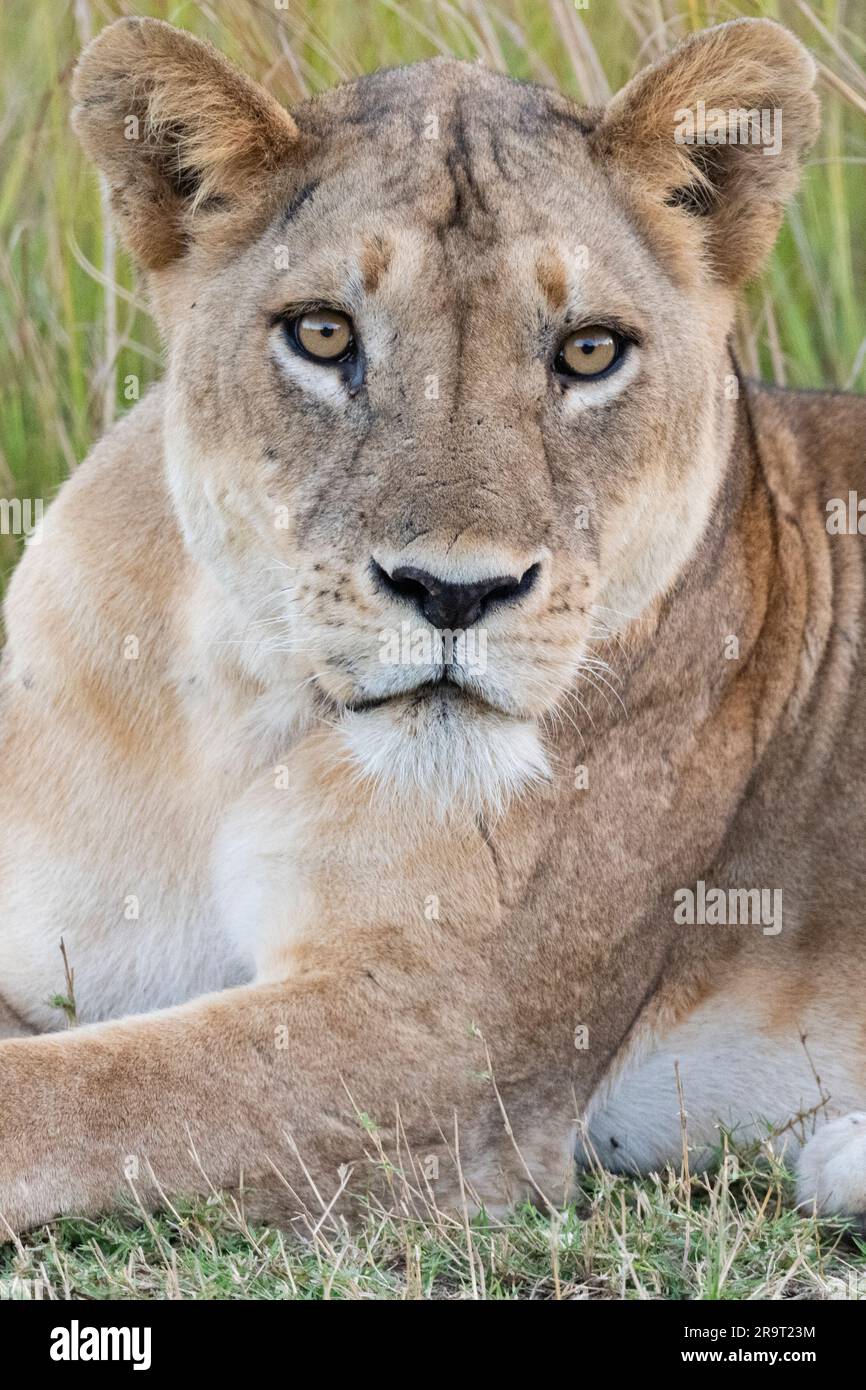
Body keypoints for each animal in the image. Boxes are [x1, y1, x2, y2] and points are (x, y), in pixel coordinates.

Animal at [1, 14, 865, 1235]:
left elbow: (71, 1095)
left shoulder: (435, 1048)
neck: (235, 715)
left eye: (588, 351)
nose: (453, 593)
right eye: (323, 334)